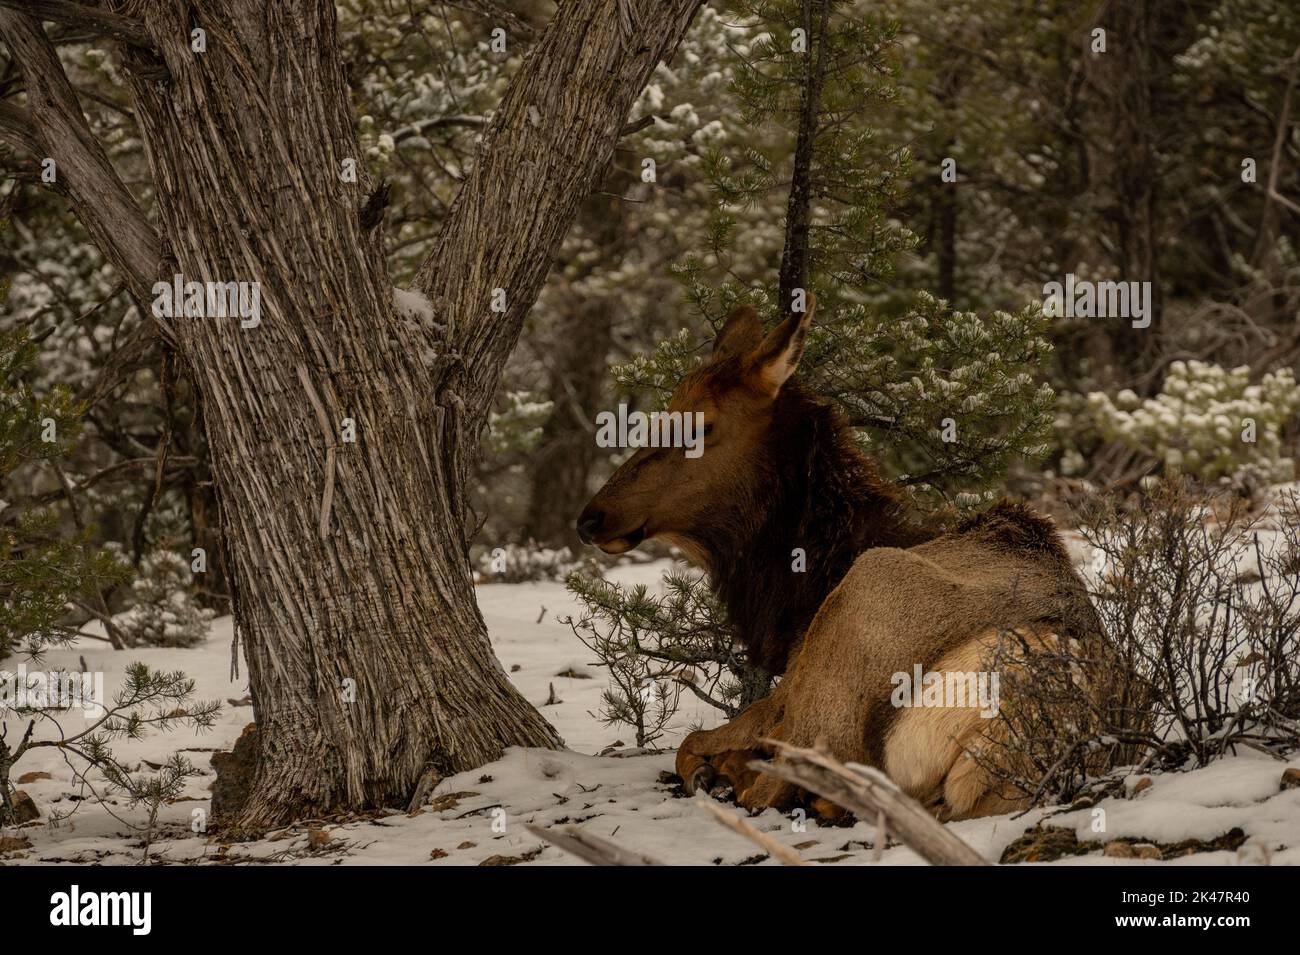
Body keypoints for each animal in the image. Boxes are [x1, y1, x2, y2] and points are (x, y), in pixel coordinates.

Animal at [576, 299, 1101, 820]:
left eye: (700, 425)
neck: (801, 584)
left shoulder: (790, 676)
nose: (590, 517)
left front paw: (717, 767)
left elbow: (694, 743)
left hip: (855, 617)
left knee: (790, 777)